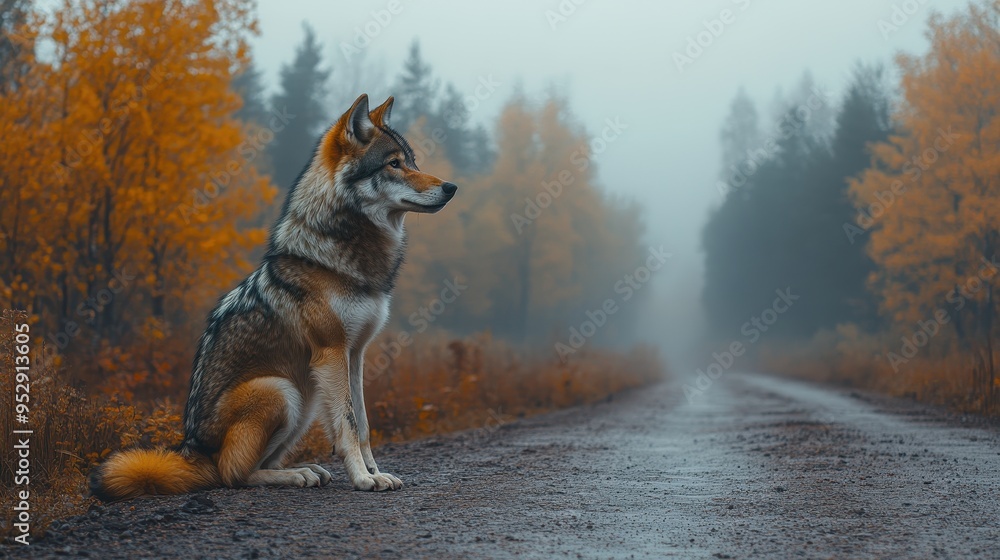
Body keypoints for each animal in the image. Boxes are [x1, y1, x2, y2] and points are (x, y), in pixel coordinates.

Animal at [89, 94, 458, 499]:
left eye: (413, 161)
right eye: (394, 163)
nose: (451, 187)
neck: (340, 256)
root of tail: (192, 451)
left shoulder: (355, 354)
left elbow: (362, 424)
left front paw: (376, 472)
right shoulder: (332, 353)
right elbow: (348, 423)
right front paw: (363, 478)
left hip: (306, 397)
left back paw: (307, 470)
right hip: (281, 390)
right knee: (232, 474)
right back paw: (295, 475)